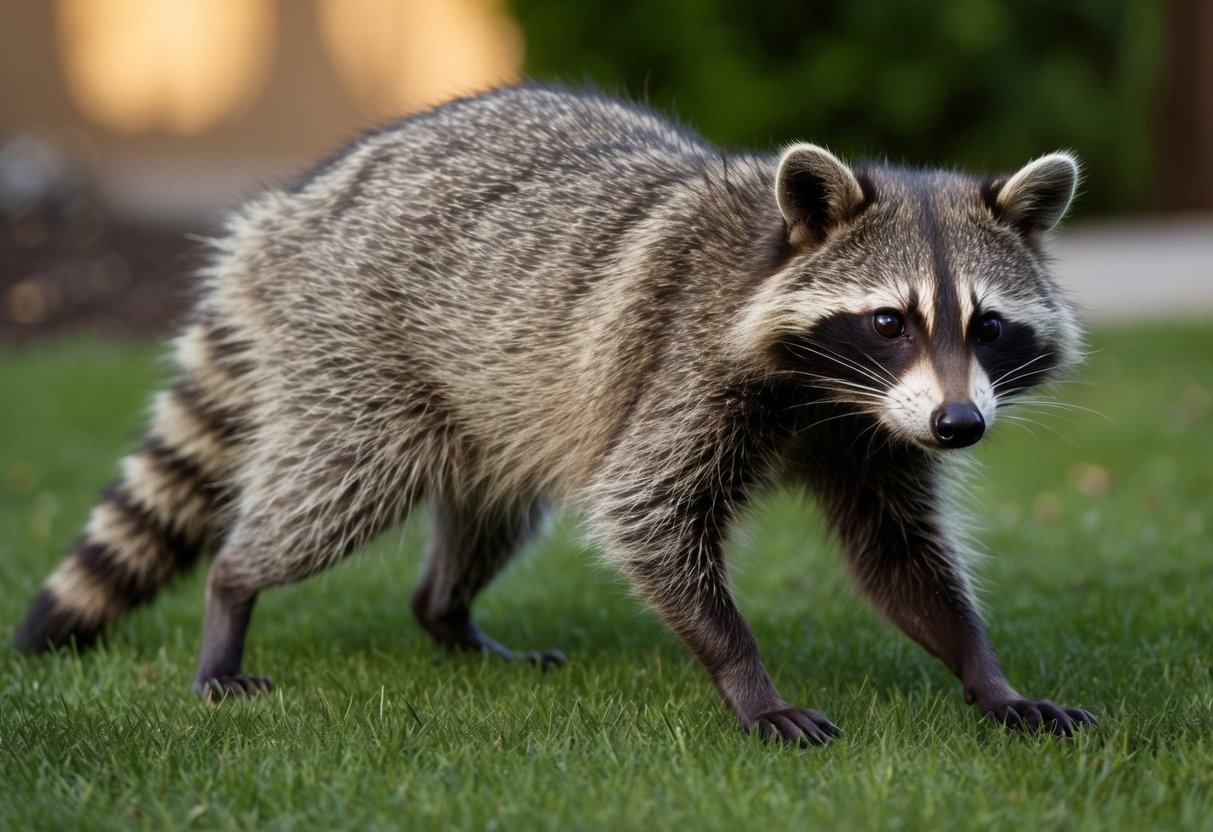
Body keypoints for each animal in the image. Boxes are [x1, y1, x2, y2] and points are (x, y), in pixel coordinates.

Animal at [16, 84, 1095, 744]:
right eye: (887, 320)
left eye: (988, 327)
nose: (960, 427)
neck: (828, 387)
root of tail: (290, 212)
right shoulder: (687, 365)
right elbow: (646, 513)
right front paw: (746, 677)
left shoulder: (875, 430)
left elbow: (896, 554)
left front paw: (983, 673)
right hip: (359, 349)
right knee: (335, 490)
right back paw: (234, 591)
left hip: (491, 403)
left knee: (491, 513)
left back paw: (446, 612)